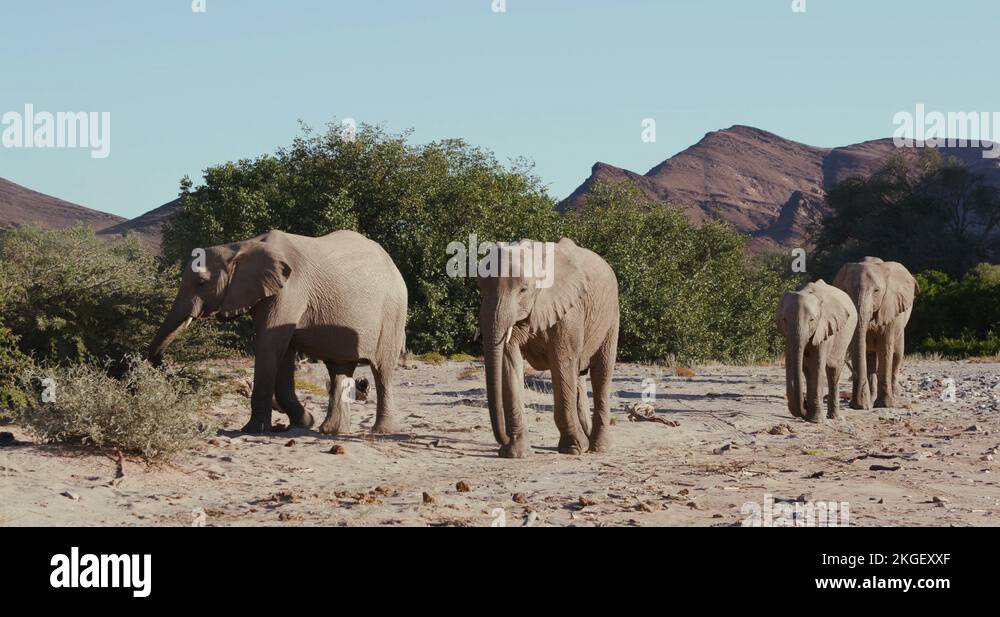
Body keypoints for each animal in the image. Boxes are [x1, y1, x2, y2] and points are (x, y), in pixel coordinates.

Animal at [148, 230, 408, 435]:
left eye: (201, 283)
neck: (242, 246)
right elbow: (283, 352)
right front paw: (305, 422)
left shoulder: (290, 290)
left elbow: (269, 343)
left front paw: (253, 431)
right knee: (339, 369)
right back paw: (331, 431)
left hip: (393, 314)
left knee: (382, 370)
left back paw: (381, 431)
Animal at [477, 238, 620, 458]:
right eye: (480, 289)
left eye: (523, 290)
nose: (504, 439)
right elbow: (509, 363)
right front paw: (515, 453)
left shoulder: (569, 311)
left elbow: (562, 363)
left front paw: (573, 449)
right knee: (579, 375)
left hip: (611, 316)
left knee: (601, 373)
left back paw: (598, 447)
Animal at [776, 280, 858, 423]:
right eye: (784, 319)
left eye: (812, 320)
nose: (804, 403)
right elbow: (801, 364)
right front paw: (809, 415)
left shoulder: (824, 327)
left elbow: (817, 365)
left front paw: (815, 420)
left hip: (846, 336)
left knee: (833, 371)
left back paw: (834, 417)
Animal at [833, 257, 918, 409]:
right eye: (845, 290)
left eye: (876, 291)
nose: (859, 405)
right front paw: (862, 405)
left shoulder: (891, 307)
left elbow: (885, 347)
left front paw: (885, 405)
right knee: (870, 356)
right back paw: (872, 398)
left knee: (897, 355)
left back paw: (894, 396)